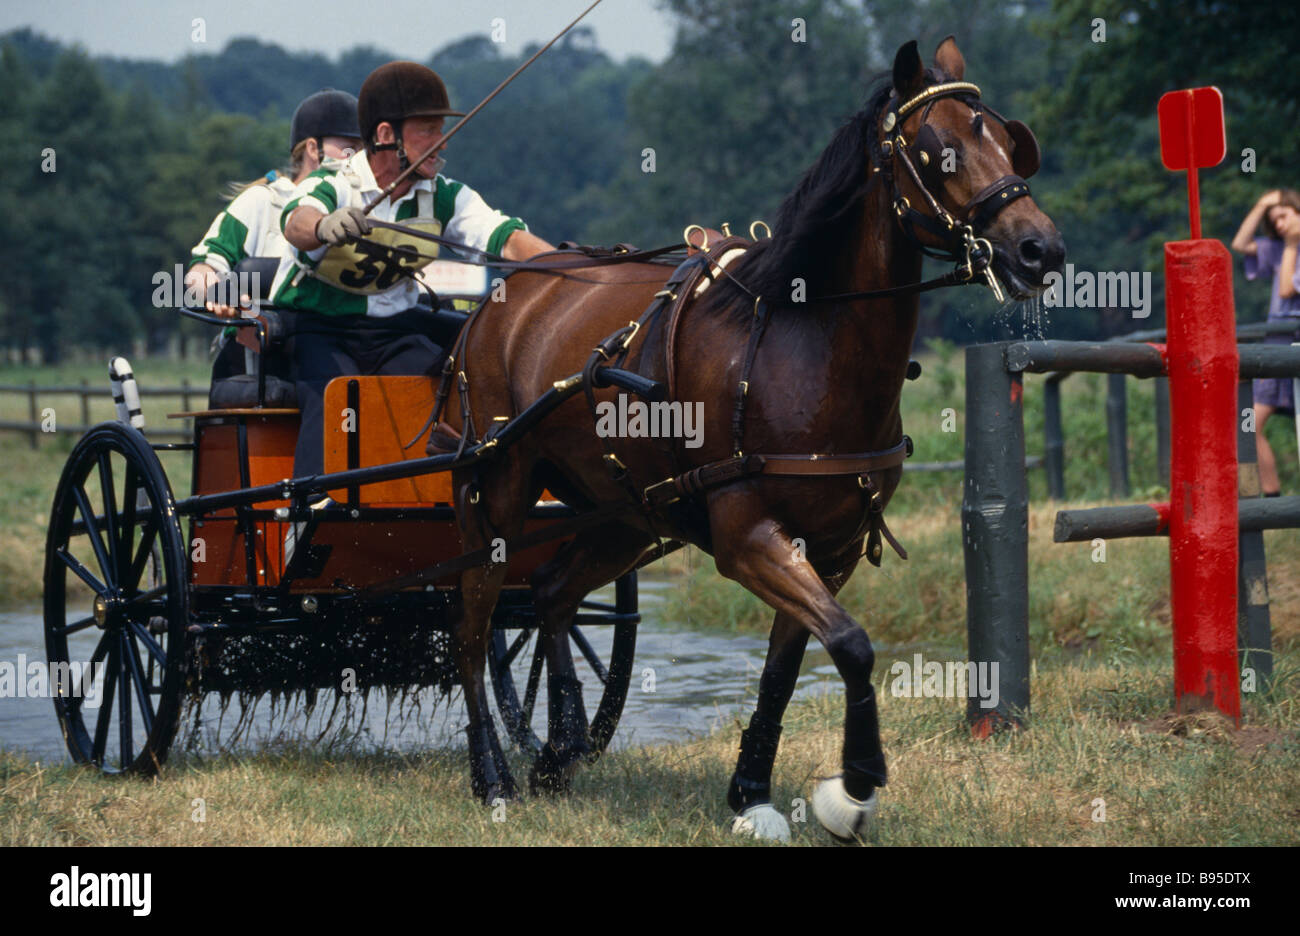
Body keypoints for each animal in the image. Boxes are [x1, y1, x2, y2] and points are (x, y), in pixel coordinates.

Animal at [437, 35, 1064, 841]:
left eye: (1008, 142)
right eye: (940, 150)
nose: (1039, 250)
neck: (807, 345)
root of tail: (495, 300)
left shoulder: (827, 551)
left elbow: (788, 669)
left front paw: (753, 792)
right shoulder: (748, 538)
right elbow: (853, 645)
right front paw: (854, 784)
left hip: (624, 513)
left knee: (549, 594)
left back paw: (560, 750)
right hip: (494, 493)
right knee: (474, 625)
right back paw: (494, 778)